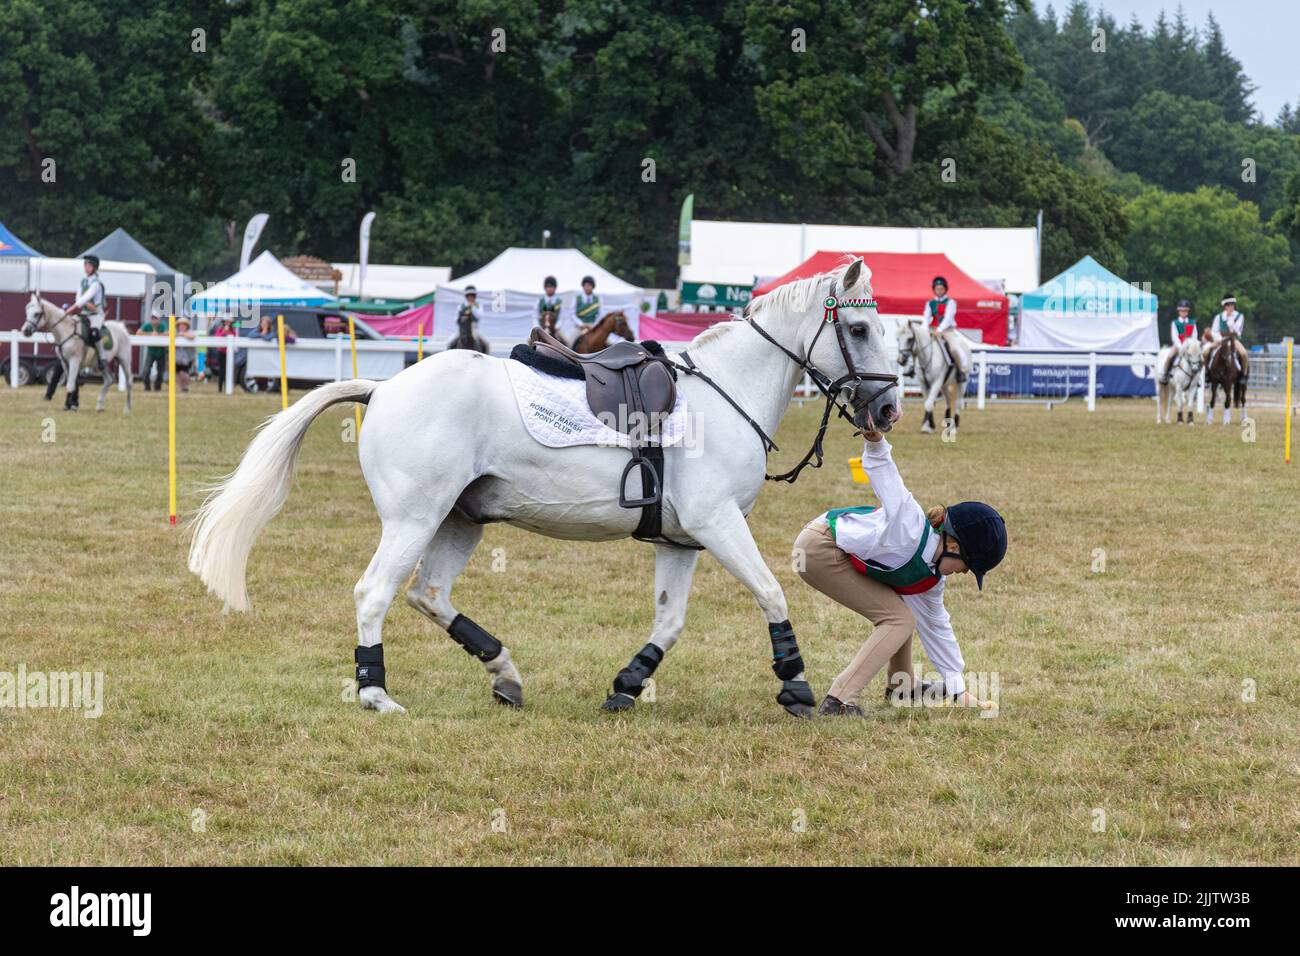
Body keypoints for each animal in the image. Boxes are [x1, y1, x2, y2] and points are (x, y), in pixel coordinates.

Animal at [189, 260, 904, 717]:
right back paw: (375, 693)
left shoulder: (681, 540)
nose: (888, 410)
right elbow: (772, 592)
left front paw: (627, 684)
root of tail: (384, 387)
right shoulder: (717, 522)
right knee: (376, 593)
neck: (724, 392)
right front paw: (797, 687)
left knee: (428, 593)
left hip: (461, 520)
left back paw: (504, 672)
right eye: (859, 330)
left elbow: (669, 622)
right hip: (416, 519)